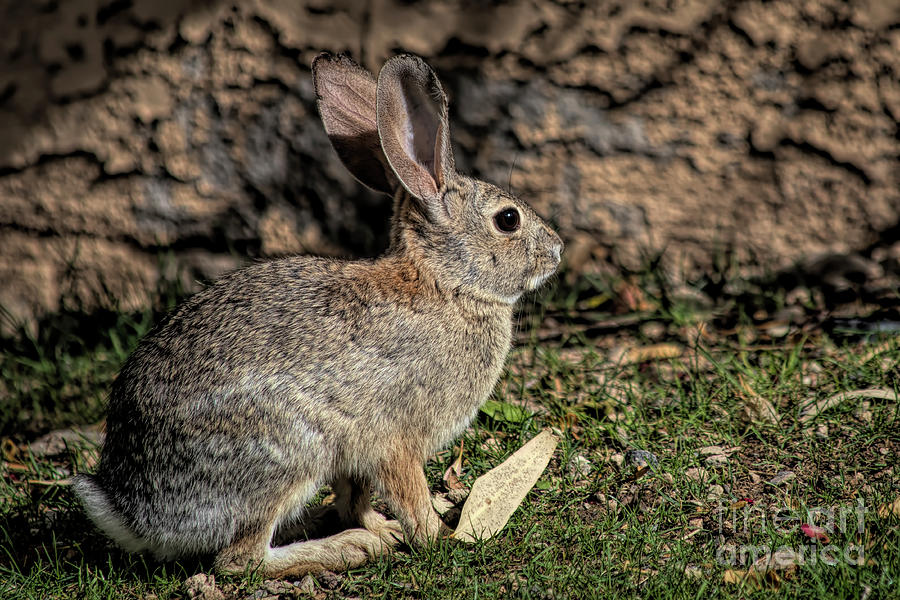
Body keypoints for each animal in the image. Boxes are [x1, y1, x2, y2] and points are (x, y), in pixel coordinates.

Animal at [74, 52, 563, 578]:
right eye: (508, 220)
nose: (558, 250)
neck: (445, 283)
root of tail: (136, 511)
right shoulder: (396, 439)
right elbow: (409, 497)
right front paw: (439, 536)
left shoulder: (357, 454)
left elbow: (356, 497)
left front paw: (384, 525)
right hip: (284, 454)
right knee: (239, 560)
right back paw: (349, 548)